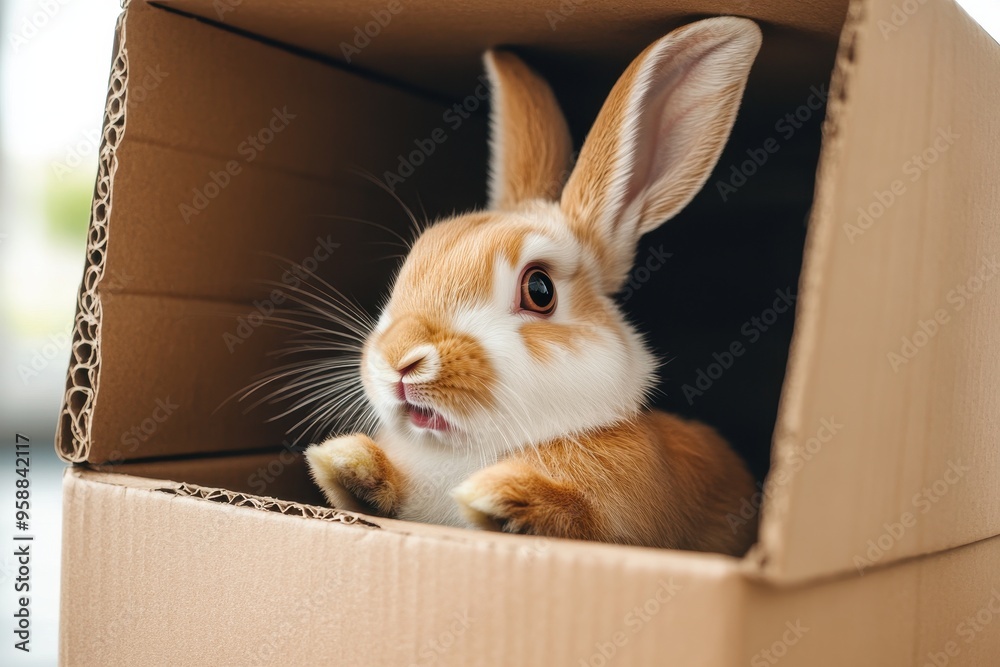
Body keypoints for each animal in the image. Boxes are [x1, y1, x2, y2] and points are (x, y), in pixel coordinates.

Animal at [305, 16, 762, 555]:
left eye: (540, 290)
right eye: (412, 265)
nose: (399, 359)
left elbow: (585, 517)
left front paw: (501, 497)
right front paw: (347, 461)